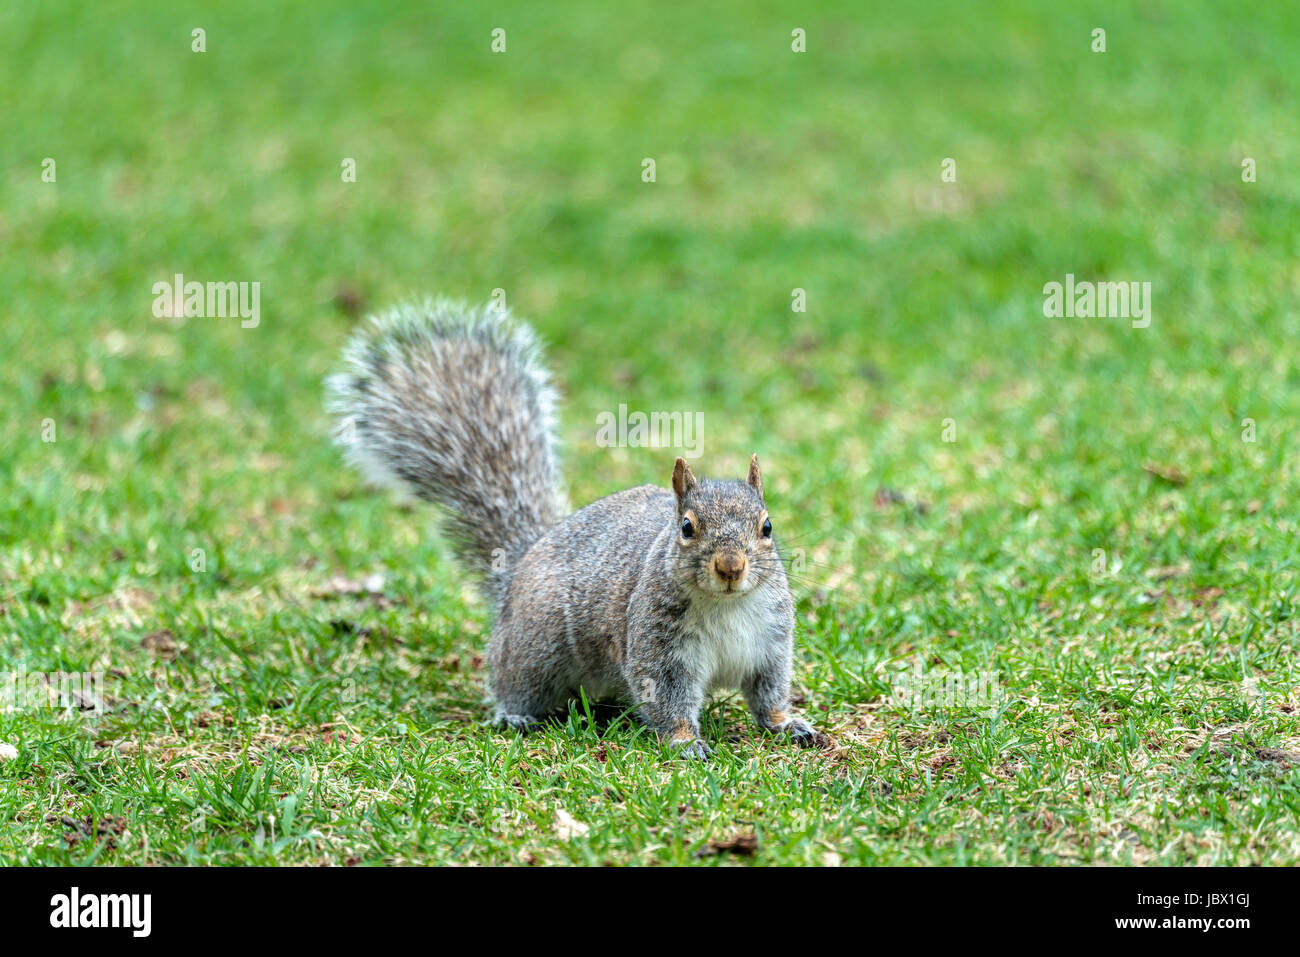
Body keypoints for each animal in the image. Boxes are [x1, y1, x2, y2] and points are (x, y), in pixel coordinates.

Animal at [327, 299, 823, 758]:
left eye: (767, 526)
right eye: (686, 528)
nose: (731, 567)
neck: (724, 605)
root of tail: (518, 565)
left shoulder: (769, 642)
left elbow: (768, 693)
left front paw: (787, 723)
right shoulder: (658, 651)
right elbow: (667, 699)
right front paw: (686, 742)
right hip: (535, 649)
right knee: (513, 681)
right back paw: (515, 715)